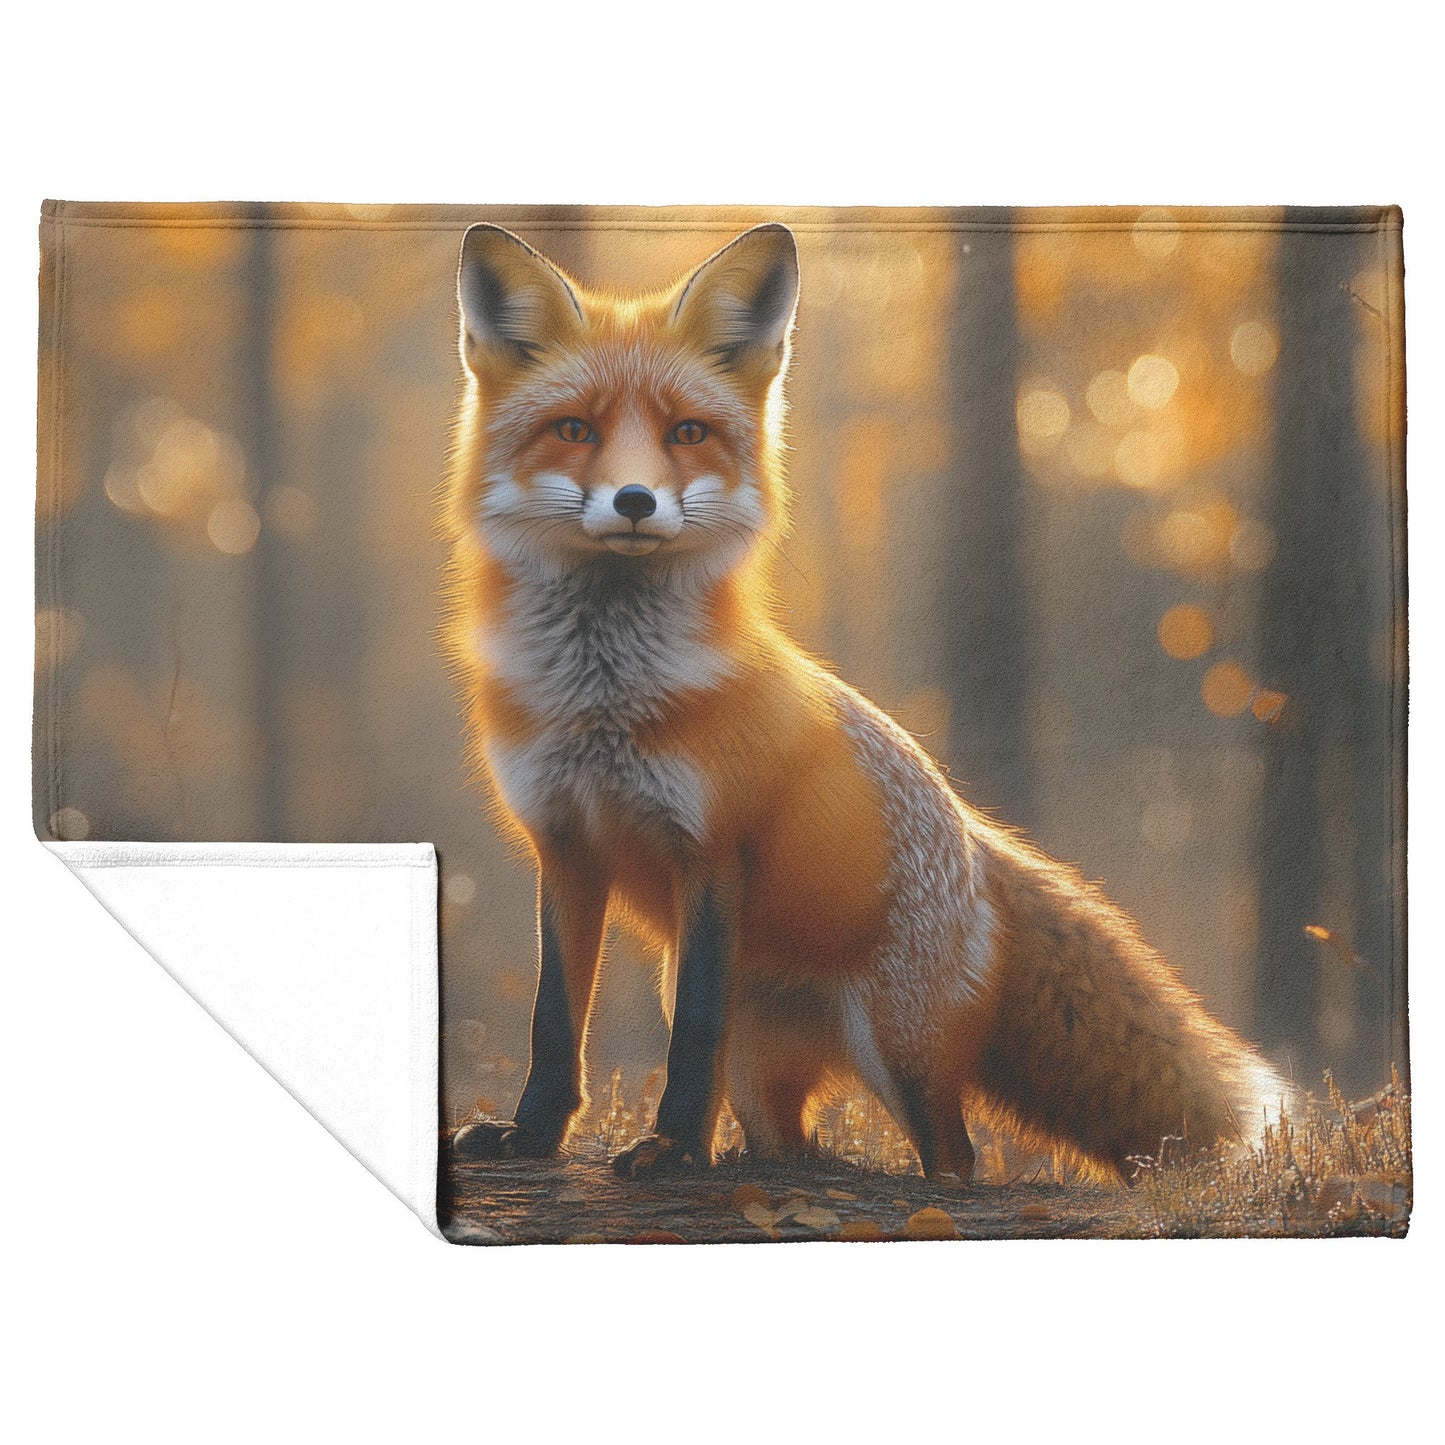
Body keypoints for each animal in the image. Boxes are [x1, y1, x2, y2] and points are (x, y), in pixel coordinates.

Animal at [442, 220, 1288, 1185]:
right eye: (573, 430)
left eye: (687, 432)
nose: (634, 499)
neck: (602, 700)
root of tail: (974, 839)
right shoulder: (568, 847)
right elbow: (553, 1022)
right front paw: (535, 1136)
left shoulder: (712, 849)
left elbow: (691, 1031)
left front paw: (672, 1148)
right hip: (762, 1065)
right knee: (789, 1139)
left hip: (898, 1051)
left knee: (955, 1161)